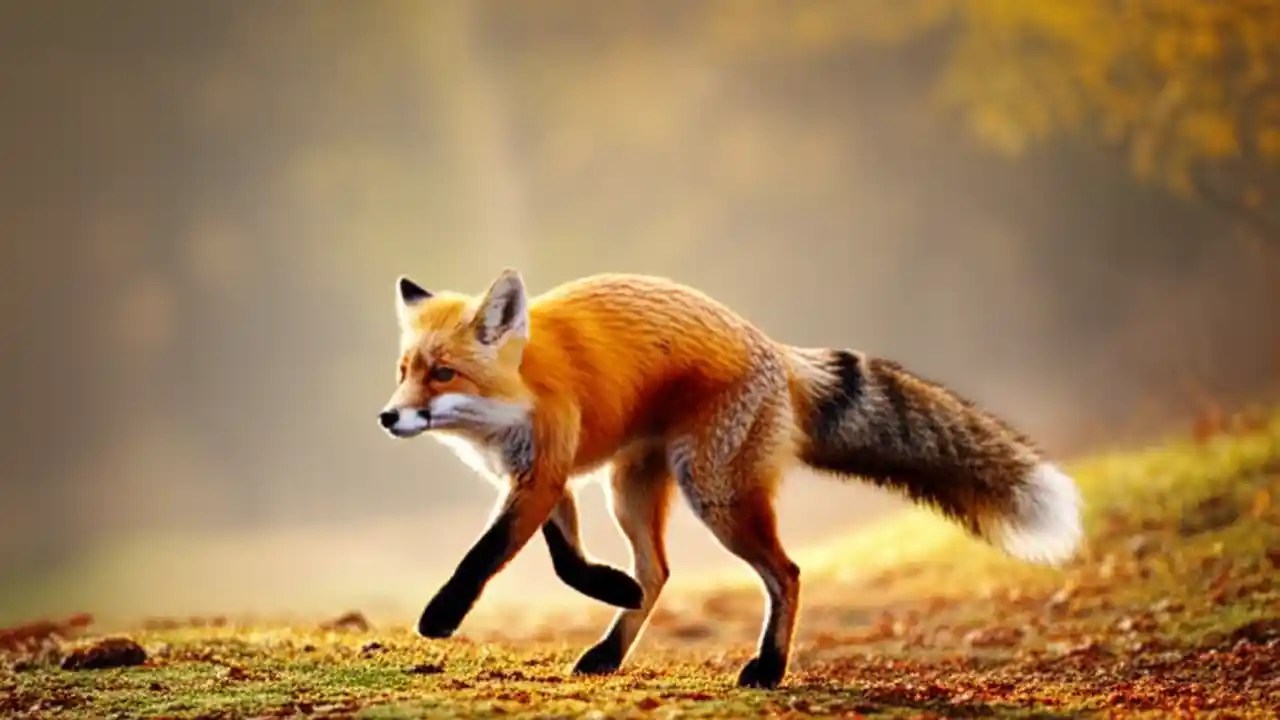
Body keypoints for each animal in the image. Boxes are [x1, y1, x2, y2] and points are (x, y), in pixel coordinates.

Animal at [377, 268, 1083, 688]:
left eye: (443, 374)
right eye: (405, 371)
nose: (387, 416)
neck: (515, 397)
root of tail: (775, 349)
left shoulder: (543, 473)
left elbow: (485, 555)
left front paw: (440, 617)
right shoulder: (543, 477)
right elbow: (567, 562)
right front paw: (609, 585)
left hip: (714, 496)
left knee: (787, 574)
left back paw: (768, 667)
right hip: (629, 490)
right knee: (658, 573)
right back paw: (610, 649)